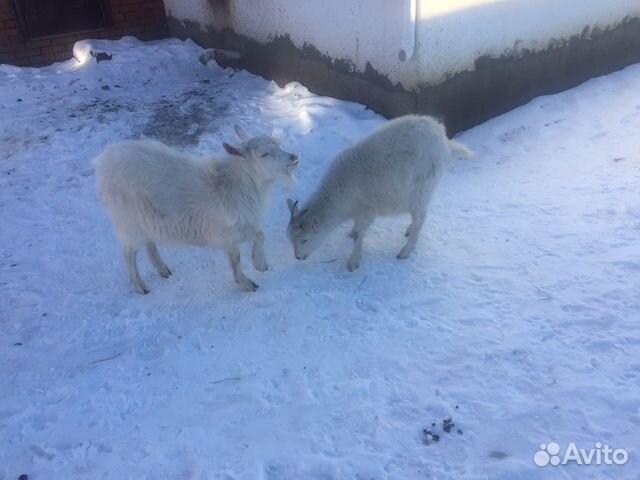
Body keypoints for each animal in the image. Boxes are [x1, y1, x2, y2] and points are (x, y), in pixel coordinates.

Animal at [95, 126, 299, 293]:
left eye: (277, 145)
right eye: (264, 154)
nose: (294, 157)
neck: (231, 184)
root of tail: (103, 161)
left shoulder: (239, 226)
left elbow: (259, 235)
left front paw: (258, 265)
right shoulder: (226, 231)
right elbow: (239, 255)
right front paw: (249, 278)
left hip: (145, 218)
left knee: (148, 243)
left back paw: (162, 269)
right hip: (127, 221)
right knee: (128, 254)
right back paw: (139, 286)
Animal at [286, 115, 473, 271]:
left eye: (304, 240)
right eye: (290, 240)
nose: (298, 257)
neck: (340, 196)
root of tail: (443, 141)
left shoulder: (367, 210)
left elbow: (359, 235)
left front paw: (353, 262)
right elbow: (356, 230)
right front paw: (351, 233)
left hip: (421, 190)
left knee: (421, 218)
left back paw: (405, 250)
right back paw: (409, 230)